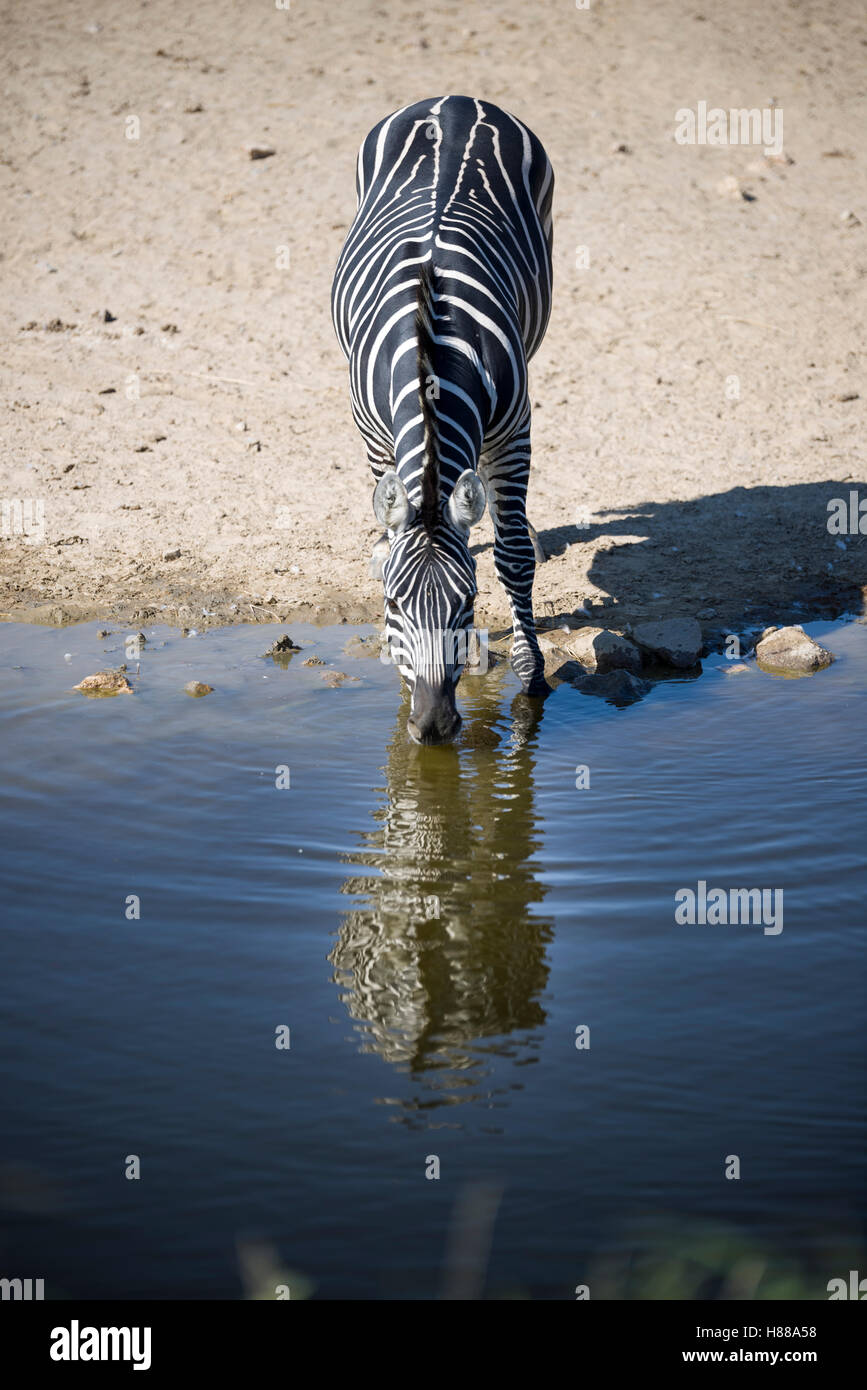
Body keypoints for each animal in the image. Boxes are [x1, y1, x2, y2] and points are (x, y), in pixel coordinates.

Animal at [331, 95, 554, 744]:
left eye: (466, 604)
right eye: (393, 608)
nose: (432, 727)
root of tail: (455, 100)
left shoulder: (514, 427)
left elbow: (512, 555)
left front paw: (531, 676)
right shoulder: (373, 433)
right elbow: (391, 523)